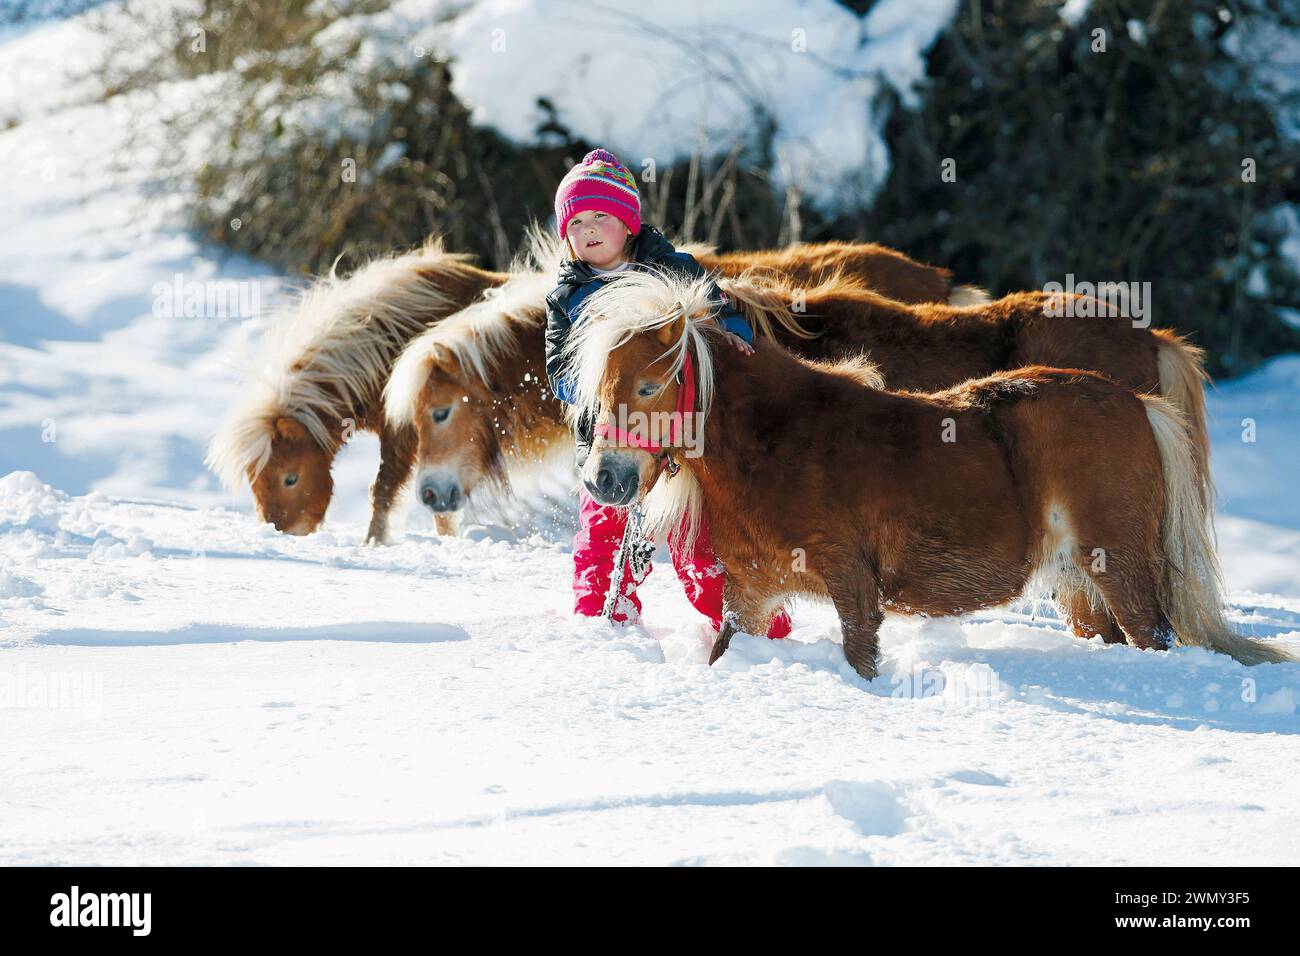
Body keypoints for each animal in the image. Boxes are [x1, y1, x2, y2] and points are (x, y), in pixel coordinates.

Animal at [205, 241, 507, 543]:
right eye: (254, 482)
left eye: (290, 478)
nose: (282, 532)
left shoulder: (404, 435)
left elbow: (386, 489)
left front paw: (374, 541)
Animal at [562, 270, 1292, 677]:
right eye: (597, 383)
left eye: (651, 385)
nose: (604, 480)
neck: (778, 445)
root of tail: (1137, 402)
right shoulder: (750, 595)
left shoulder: (854, 588)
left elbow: (860, 660)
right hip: (1080, 583)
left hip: (1120, 566)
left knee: (1153, 639)